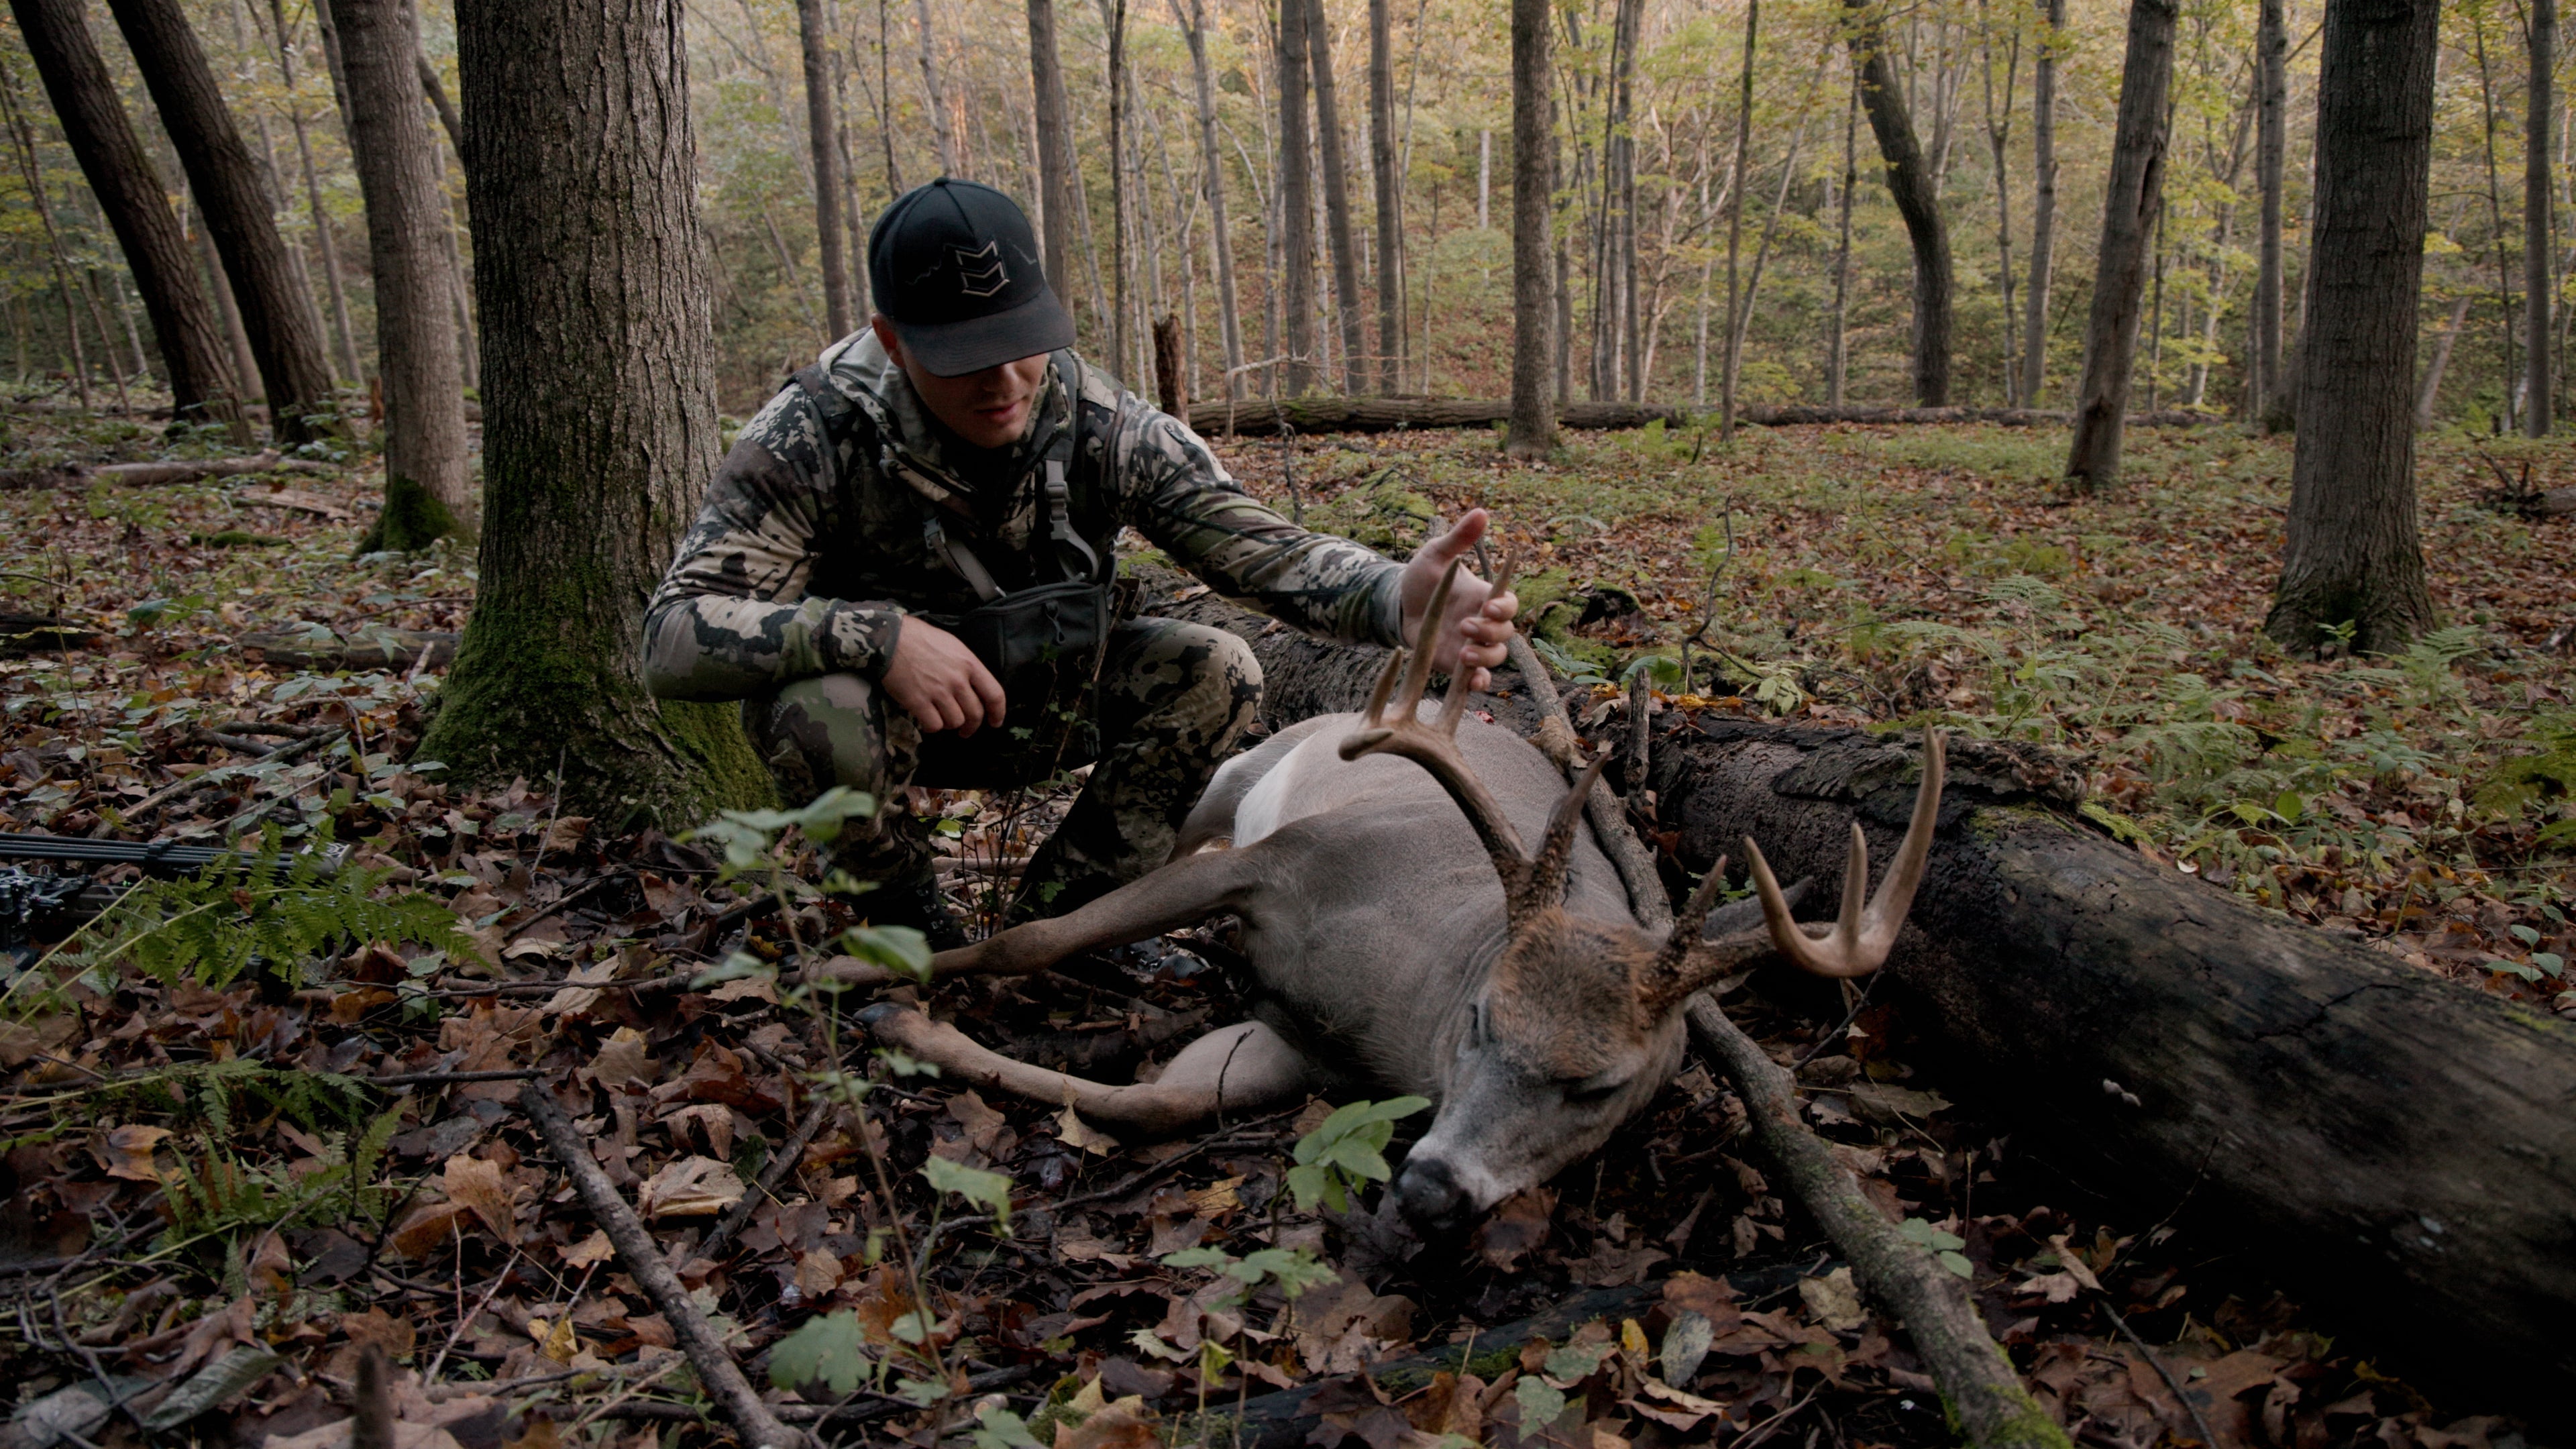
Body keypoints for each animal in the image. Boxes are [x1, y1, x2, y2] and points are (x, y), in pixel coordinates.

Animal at [857, 561, 1947, 1236]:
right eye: (1482, 1018)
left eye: (1603, 1087)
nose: (1430, 1189)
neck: (1410, 987)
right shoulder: (1287, 857)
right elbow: (1036, 940)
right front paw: (874, 977)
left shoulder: (1300, 1046)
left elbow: (1148, 1101)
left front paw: (911, 1024)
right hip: (1245, 769)